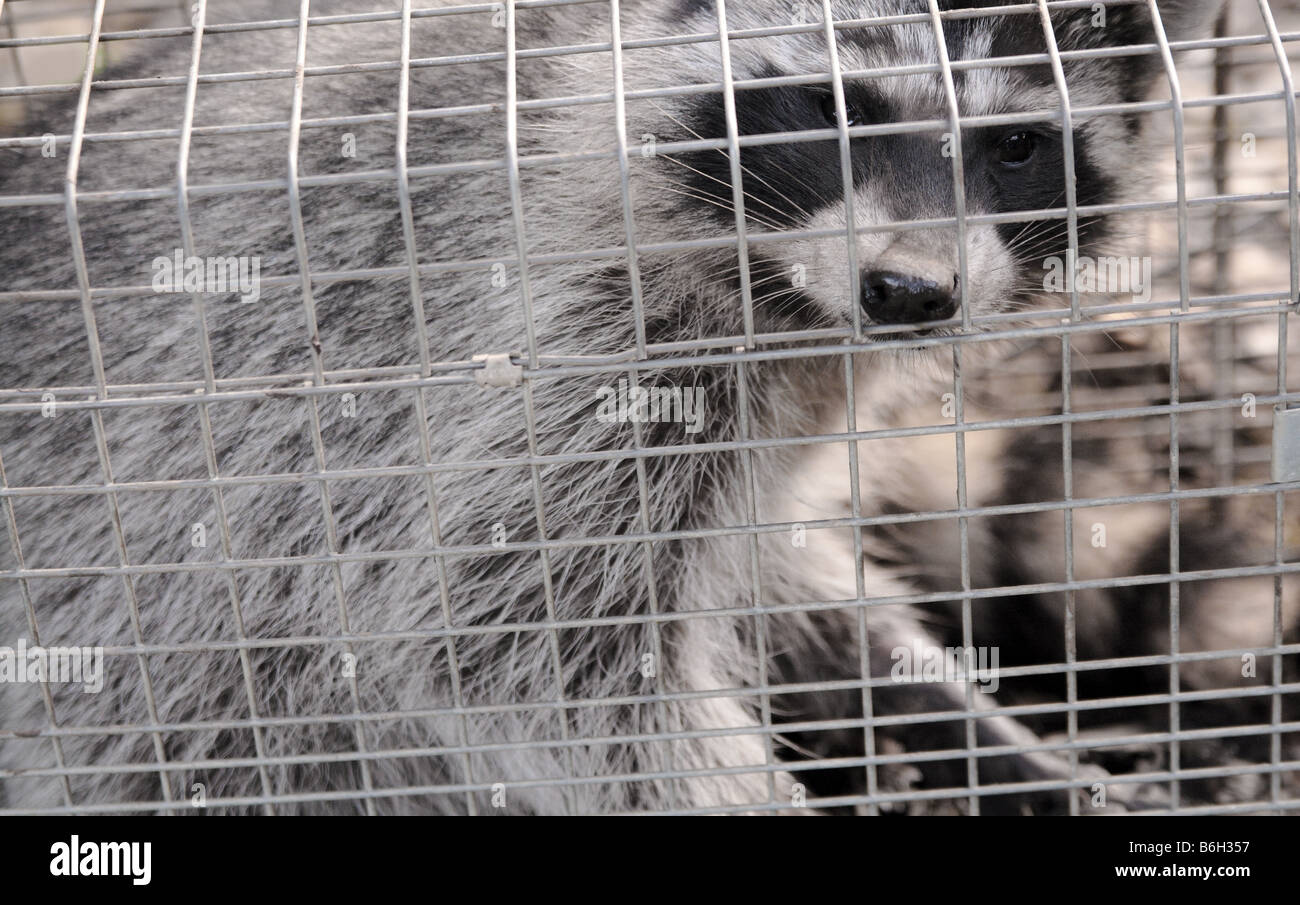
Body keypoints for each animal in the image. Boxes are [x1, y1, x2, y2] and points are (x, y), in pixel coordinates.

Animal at [0, 0, 1225, 814]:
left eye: (1014, 146)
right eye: (832, 109)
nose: (911, 292)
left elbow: (774, 568)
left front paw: (947, 709)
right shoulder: (552, 324)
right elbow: (510, 652)